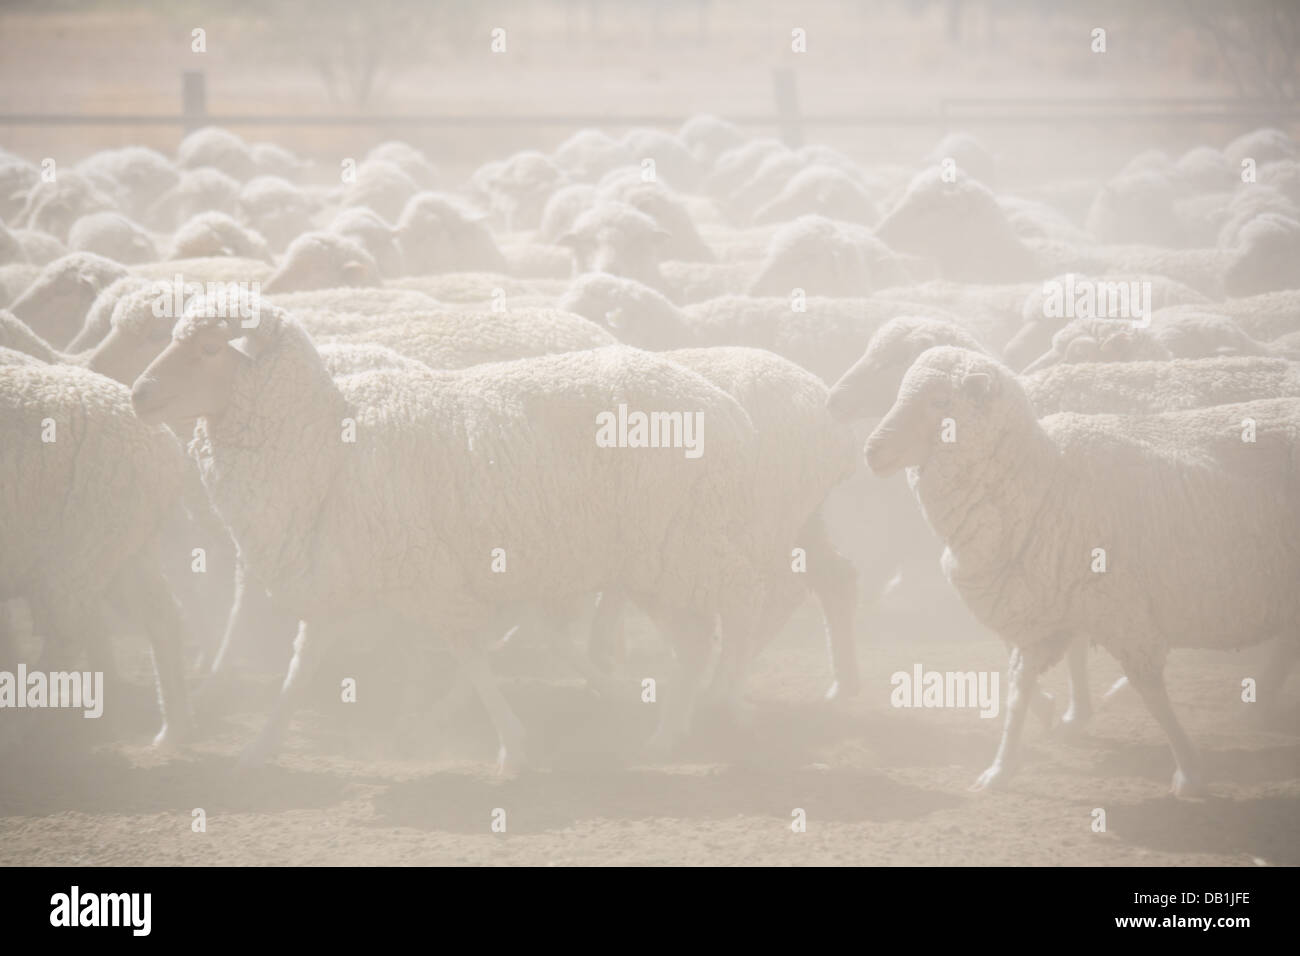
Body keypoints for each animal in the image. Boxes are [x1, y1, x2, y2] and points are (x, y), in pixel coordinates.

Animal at [1, 359, 194, 746]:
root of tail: (166, 447)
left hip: (80, 542)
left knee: (65, 633)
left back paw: (16, 725)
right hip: (124, 544)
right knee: (162, 616)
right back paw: (172, 730)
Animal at [131, 303, 772, 766]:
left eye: (209, 348)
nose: (137, 393)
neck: (325, 440)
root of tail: (729, 409)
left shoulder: (431, 575)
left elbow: (467, 653)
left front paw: (509, 745)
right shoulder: (336, 576)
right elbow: (300, 668)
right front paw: (260, 747)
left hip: (679, 547)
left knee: (729, 622)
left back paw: (704, 714)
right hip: (663, 558)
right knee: (700, 640)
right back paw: (674, 727)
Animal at [863, 345, 1300, 795]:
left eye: (940, 401)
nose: (871, 450)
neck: (1042, 480)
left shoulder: (1117, 605)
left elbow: (1150, 692)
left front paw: (1190, 771)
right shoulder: (1043, 604)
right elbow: (1020, 687)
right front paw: (1002, 768)